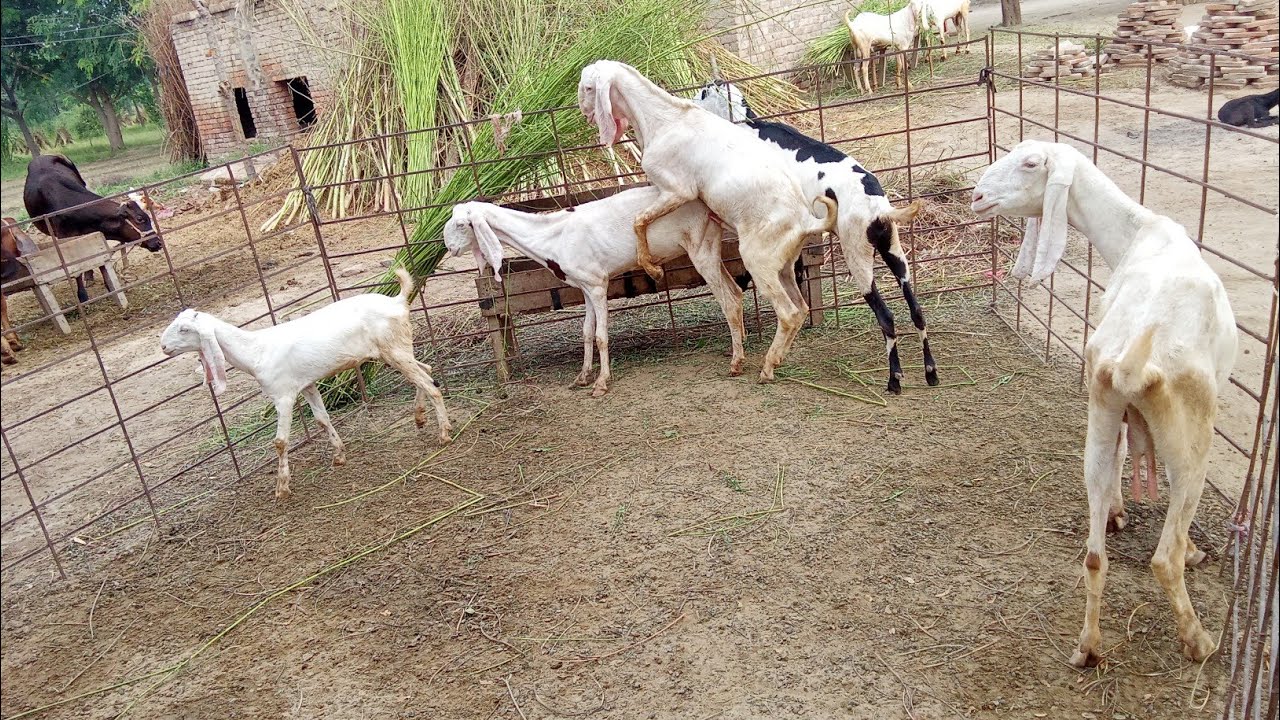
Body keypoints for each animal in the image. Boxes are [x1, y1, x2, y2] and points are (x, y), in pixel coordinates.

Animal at [159, 268, 451, 499]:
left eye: (184, 329)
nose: (162, 346)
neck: (255, 351)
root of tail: (398, 301)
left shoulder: (283, 395)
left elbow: (280, 441)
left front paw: (282, 488)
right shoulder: (307, 385)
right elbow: (322, 419)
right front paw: (339, 455)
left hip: (394, 349)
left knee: (430, 385)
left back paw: (444, 433)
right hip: (397, 350)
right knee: (427, 372)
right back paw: (419, 417)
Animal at [444, 189, 744, 396]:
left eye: (461, 224)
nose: (449, 248)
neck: (552, 236)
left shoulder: (598, 284)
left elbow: (600, 336)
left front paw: (601, 382)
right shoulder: (585, 286)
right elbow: (586, 332)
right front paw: (583, 375)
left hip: (700, 245)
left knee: (728, 301)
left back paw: (736, 362)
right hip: (709, 245)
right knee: (736, 293)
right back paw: (740, 344)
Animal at [578, 60, 838, 382]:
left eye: (588, 87)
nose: (584, 112)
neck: (663, 120)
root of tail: (805, 222)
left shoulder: (677, 190)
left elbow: (638, 220)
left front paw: (652, 268)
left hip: (758, 260)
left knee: (788, 312)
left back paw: (764, 368)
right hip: (784, 264)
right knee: (800, 308)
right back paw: (776, 359)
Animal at [693, 81, 934, 393]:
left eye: (702, 92)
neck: (751, 126)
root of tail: (879, 207)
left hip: (858, 256)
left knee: (887, 317)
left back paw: (894, 380)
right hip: (894, 252)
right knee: (917, 310)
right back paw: (931, 373)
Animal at [972, 140, 1237, 666]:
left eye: (1029, 162)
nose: (976, 197)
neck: (1140, 232)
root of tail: (1136, 362)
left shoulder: (1116, 410)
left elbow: (1122, 456)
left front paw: (1115, 509)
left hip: (1100, 405)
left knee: (1094, 554)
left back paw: (1089, 647)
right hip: (1193, 436)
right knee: (1166, 556)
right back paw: (1198, 639)